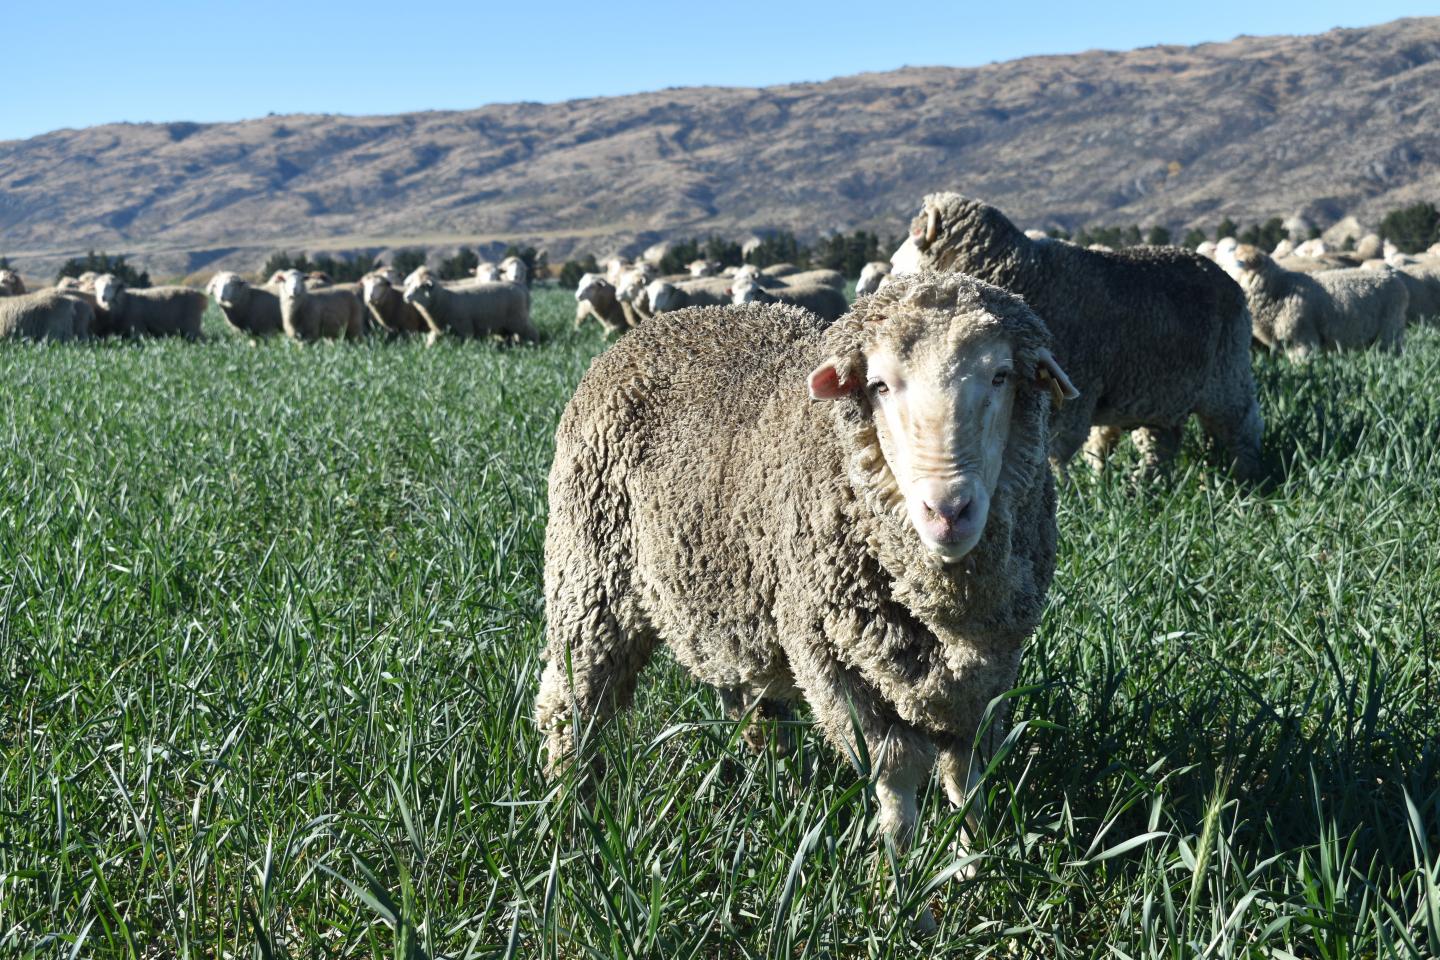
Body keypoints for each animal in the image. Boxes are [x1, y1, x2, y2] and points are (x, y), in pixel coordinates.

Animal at [402, 271, 537, 345]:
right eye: (410, 285)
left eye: (419, 287)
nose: (406, 297)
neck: (444, 298)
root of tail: (520, 286)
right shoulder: (439, 330)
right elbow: (431, 341)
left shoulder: (465, 328)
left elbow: (468, 343)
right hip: (505, 325)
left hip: (518, 319)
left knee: (531, 332)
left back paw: (533, 345)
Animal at [536, 272, 1076, 932]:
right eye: (879, 385)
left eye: (1000, 376)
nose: (947, 510)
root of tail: (658, 325)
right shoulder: (833, 660)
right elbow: (897, 777)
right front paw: (905, 900)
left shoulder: (987, 670)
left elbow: (967, 773)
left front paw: (979, 866)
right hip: (589, 578)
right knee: (572, 706)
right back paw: (572, 820)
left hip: (735, 608)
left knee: (755, 713)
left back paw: (774, 797)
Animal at [894, 192, 1262, 478]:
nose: (893, 265)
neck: (1027, 274)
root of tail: (1222, 274)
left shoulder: (1067, 392)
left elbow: (1054, 449)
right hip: (1164, 390)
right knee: (1162, 441)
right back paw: (1148, 482)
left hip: (1227, 376)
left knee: (1243, 425)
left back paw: (1246, 479)